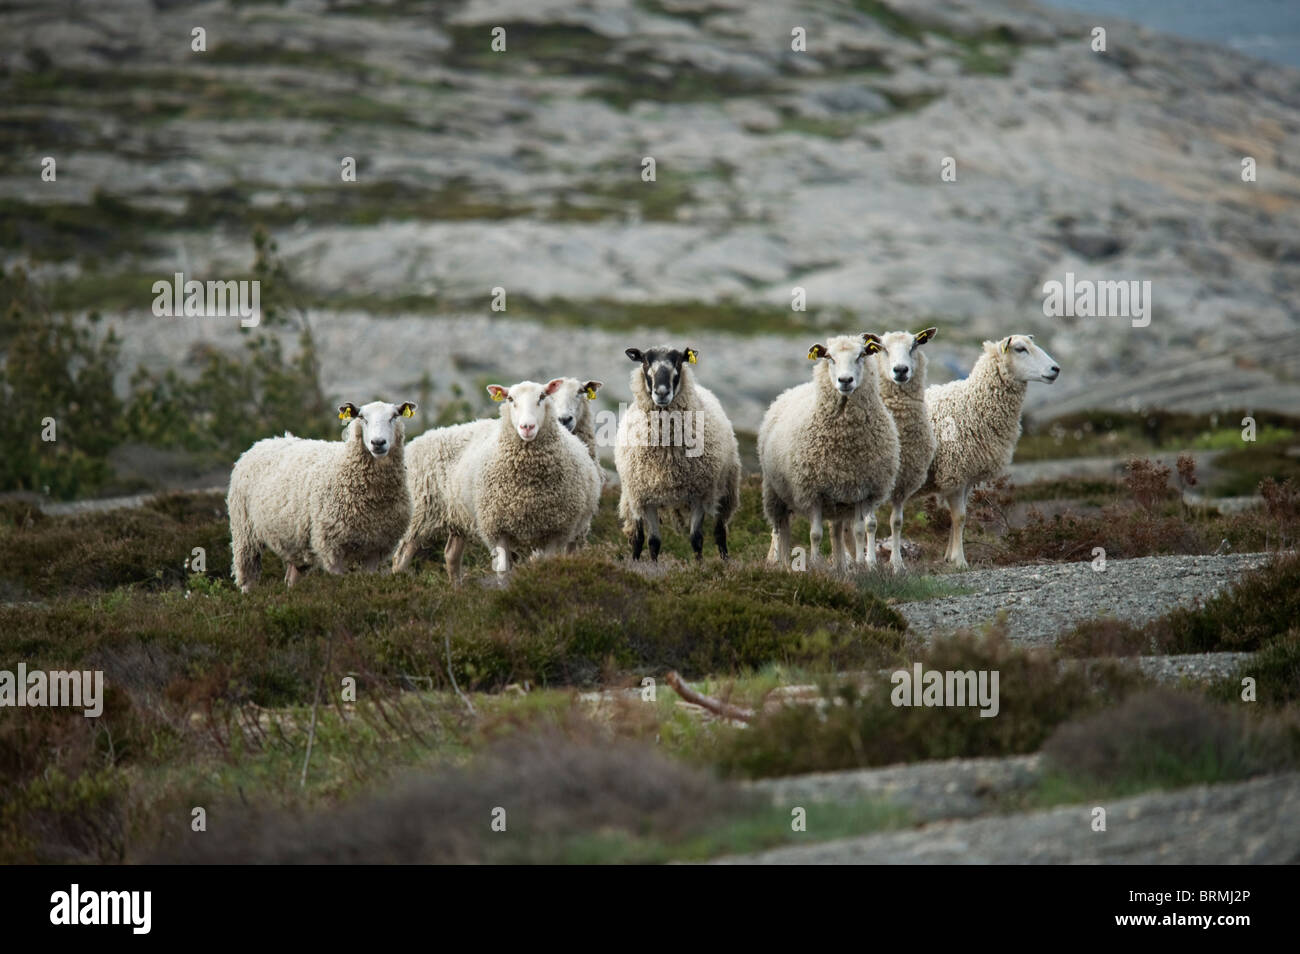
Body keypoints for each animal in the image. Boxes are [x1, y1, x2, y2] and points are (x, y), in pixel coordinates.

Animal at [228, 399, 417, 593]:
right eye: (362, 417)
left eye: (394, 416)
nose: (378, 442)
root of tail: (262, 443)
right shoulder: (331, 547)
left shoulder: (376, 548)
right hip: (244, 532)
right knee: (247, 576)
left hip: (294, 543)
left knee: (292, 577)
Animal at [451, 379, 603, 579]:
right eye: (510, 398)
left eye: (542, 397)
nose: (527, 427)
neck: (527, 489)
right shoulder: (497, 528)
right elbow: (503, 571)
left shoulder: (556, 531)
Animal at [615, 346, 741, 561]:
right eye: (645, 361)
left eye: (679, 362)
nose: (662, 392)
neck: (667, 456)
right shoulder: (647, 497)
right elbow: (653, 542)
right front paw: (652, 567)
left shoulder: (700, 494)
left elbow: (696, 538)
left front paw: (699, 566)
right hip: (632, 497)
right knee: (637, 537)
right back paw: (635, 560)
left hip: (725, 489)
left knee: (720, 532)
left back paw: (725, 561)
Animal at [759, 334, 900, 570]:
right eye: (830, 358)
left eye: (861, 355)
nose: (845, 380)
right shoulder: (812, 491)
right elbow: (815, 534)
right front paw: (815, 567)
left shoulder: (866, 491)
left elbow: (864, 528)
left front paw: (865, 565)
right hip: (774, 493)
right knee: (780, 529)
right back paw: (782, 563)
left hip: (839, 503)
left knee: (836, 531)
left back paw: (841, 566)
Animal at [925, 334, 1060, 567]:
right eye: (1020, 349)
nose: (1055, 369)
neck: (973, 403)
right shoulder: (955, 470)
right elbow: (959, 517)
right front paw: (960, 561)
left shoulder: (966, 477)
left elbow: (958, 516)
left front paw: (949, 556)